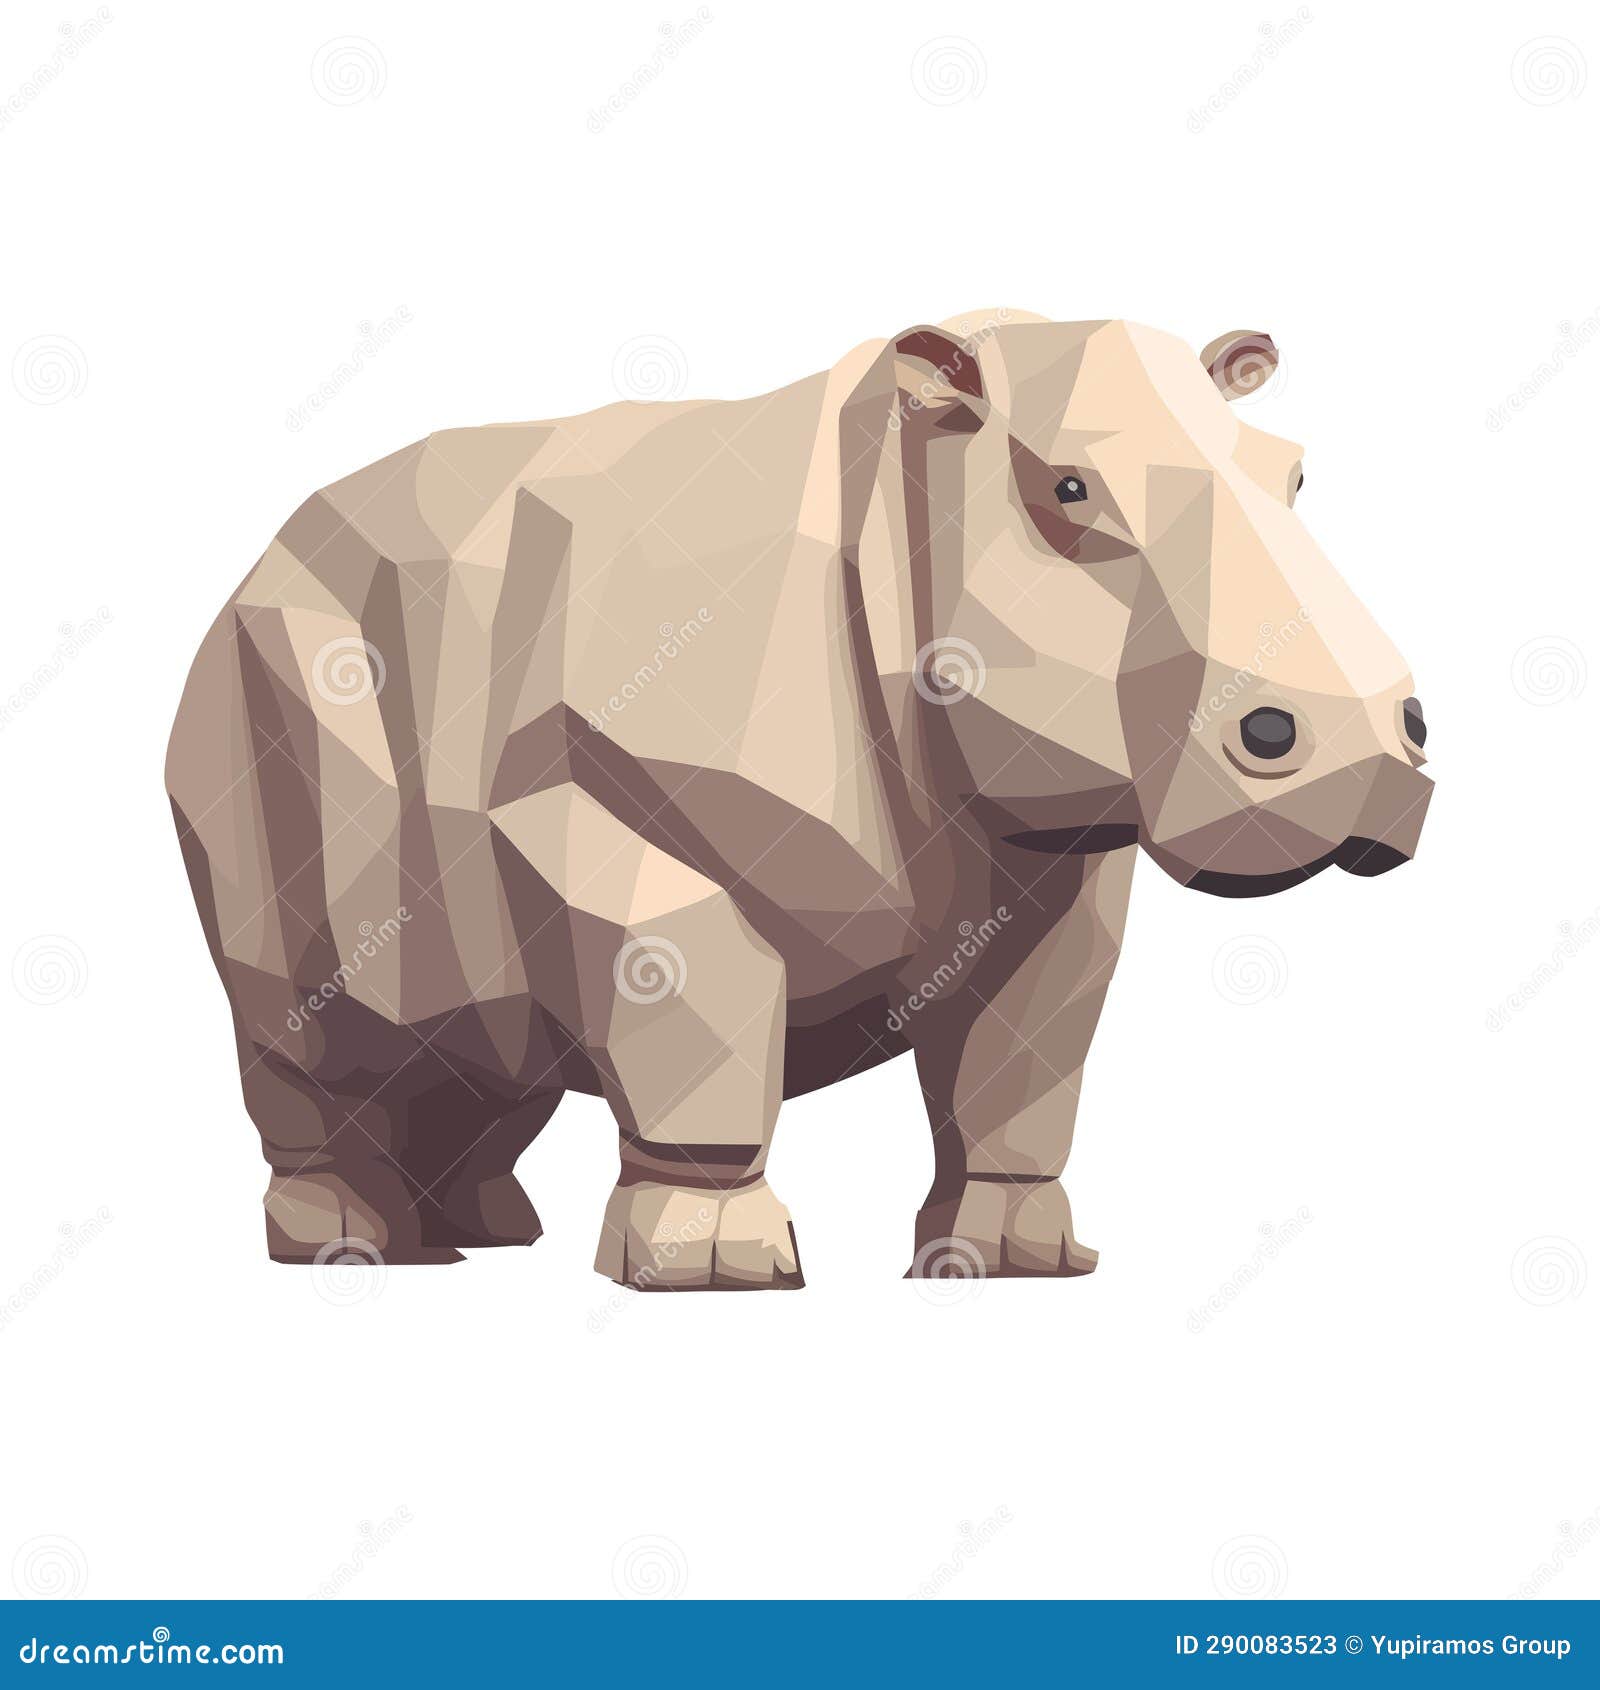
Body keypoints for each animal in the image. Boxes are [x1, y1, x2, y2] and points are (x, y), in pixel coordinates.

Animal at [166, 310, 1431, 1288]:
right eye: (1068, 488)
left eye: (1297, 476)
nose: (1377, 745)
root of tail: (250, 562)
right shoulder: (584, 790)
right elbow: (693, 992)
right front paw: (714, 1264)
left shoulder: (1056, 849)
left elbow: (1025, 1059)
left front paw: (1012, 1261)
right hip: (259, 685)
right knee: (300, 1026)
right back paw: (348, 1242)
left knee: (482, 1035)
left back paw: (486, 1230)